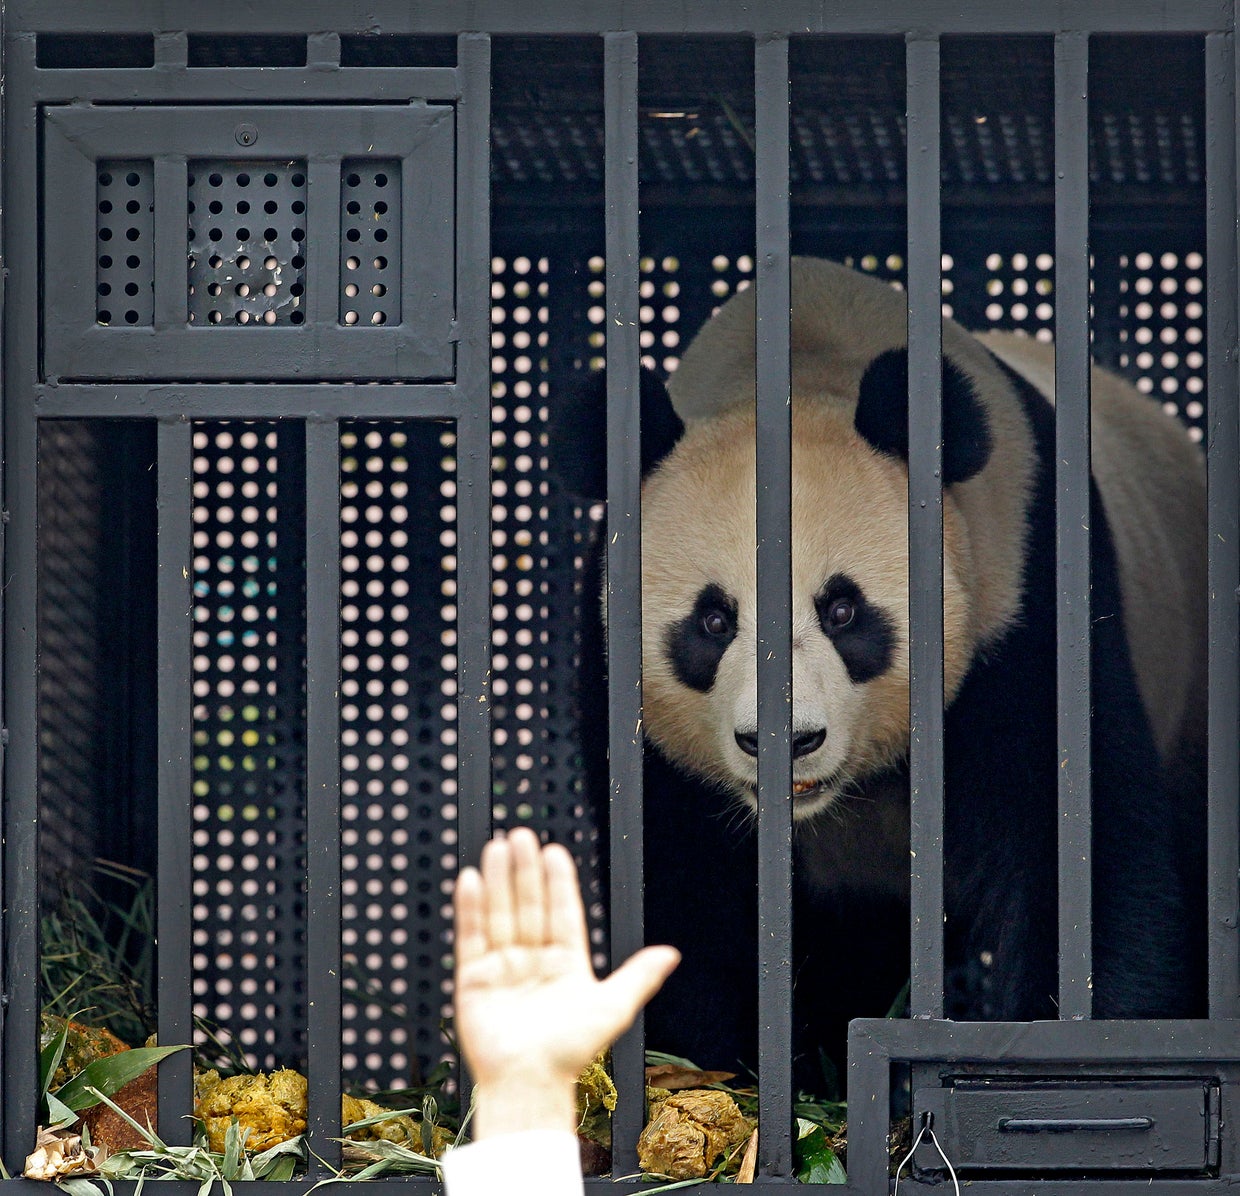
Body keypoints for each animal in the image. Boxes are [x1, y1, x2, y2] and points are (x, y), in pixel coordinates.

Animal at [557, 257, 1207, 1089]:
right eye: (713, 622)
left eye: (843, 610)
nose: (786, 740)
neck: (804, 359)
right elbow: (682, 894)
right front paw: (722, 1075)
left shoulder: (1031, 603)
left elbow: (1084, 846)